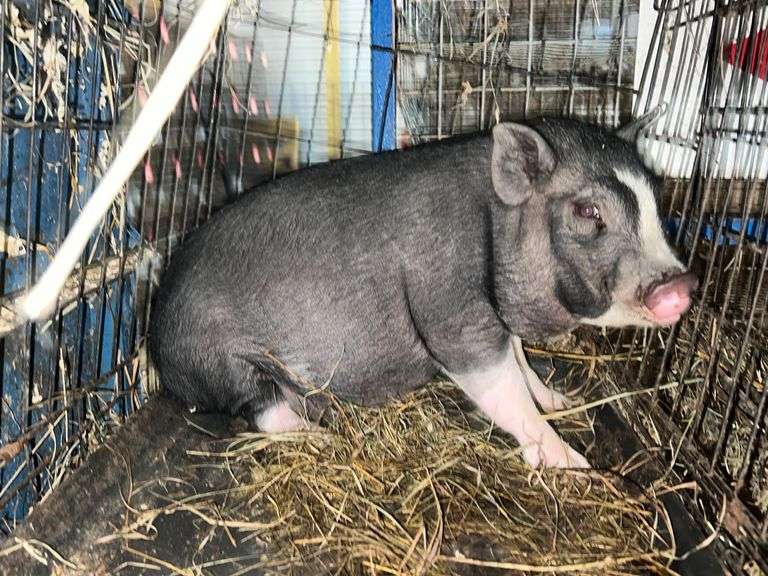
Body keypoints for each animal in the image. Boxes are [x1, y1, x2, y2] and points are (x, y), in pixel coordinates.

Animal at [148, 113, 697, 469]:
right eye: (588, 212)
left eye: (655, 200)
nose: (683, 284)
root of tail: (154, 343)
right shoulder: (450, 307)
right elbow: (501, 386)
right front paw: (575, 465)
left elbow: (522, 364)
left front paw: (562, 399)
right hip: (223, 361)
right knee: (263, 412)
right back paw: (325, 436)